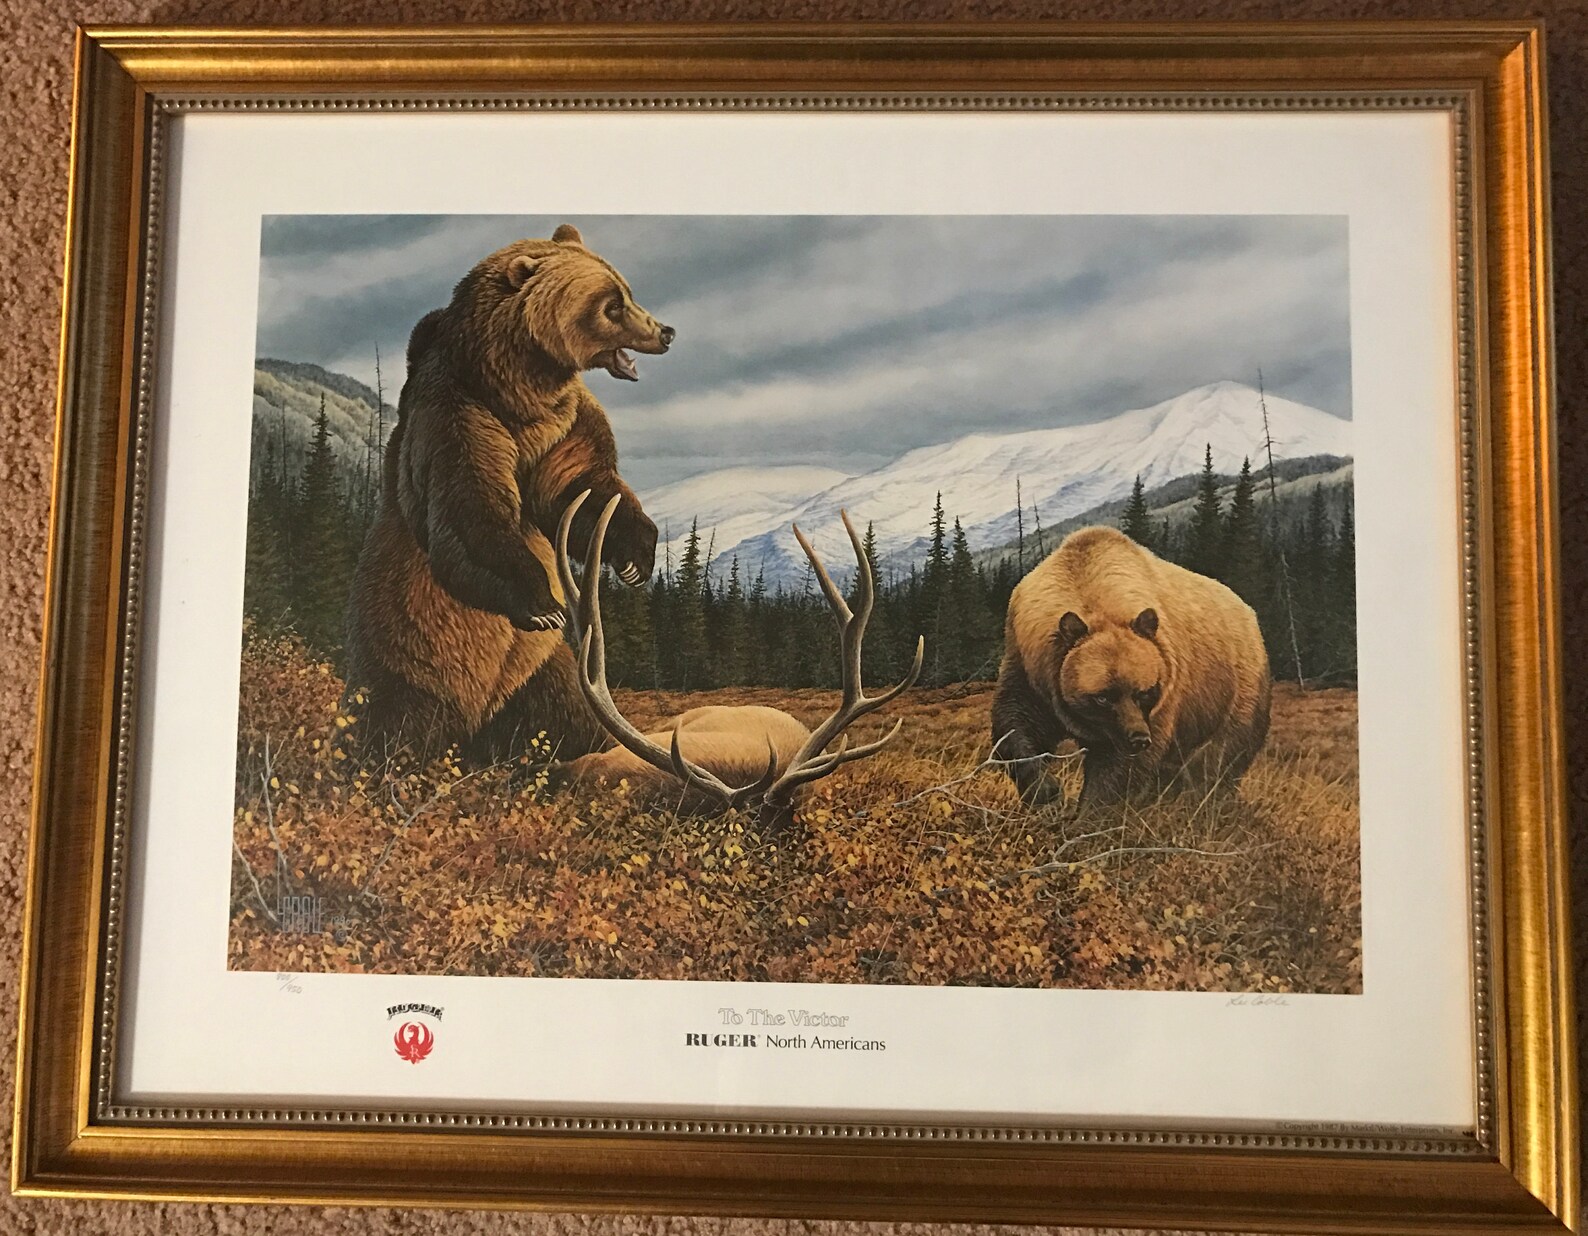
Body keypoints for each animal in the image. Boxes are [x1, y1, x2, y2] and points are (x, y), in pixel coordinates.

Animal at [344, 224, 668, 764]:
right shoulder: (459, 413)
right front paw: (542, 603)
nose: (665, 332)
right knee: (393, 727)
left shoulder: (562, 423)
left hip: (535, 674)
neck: (520, 387)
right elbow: (468, 511)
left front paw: (634, 558)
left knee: (567, 713)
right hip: (405, 662)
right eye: (613, 304)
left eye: (627, 290)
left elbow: (581, 489)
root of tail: (477, 722)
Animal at [990, 526, 1271, 810]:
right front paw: (1045, 788)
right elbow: (1016, 726)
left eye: (1144, 692)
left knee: (1223, 755)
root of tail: (1250, 613)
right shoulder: (1032, 669)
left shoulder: (1164, 696)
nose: (1138, 739)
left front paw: (1089, 811)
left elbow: (1119, 771)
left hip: (1235, 692)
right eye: (1103, 697)